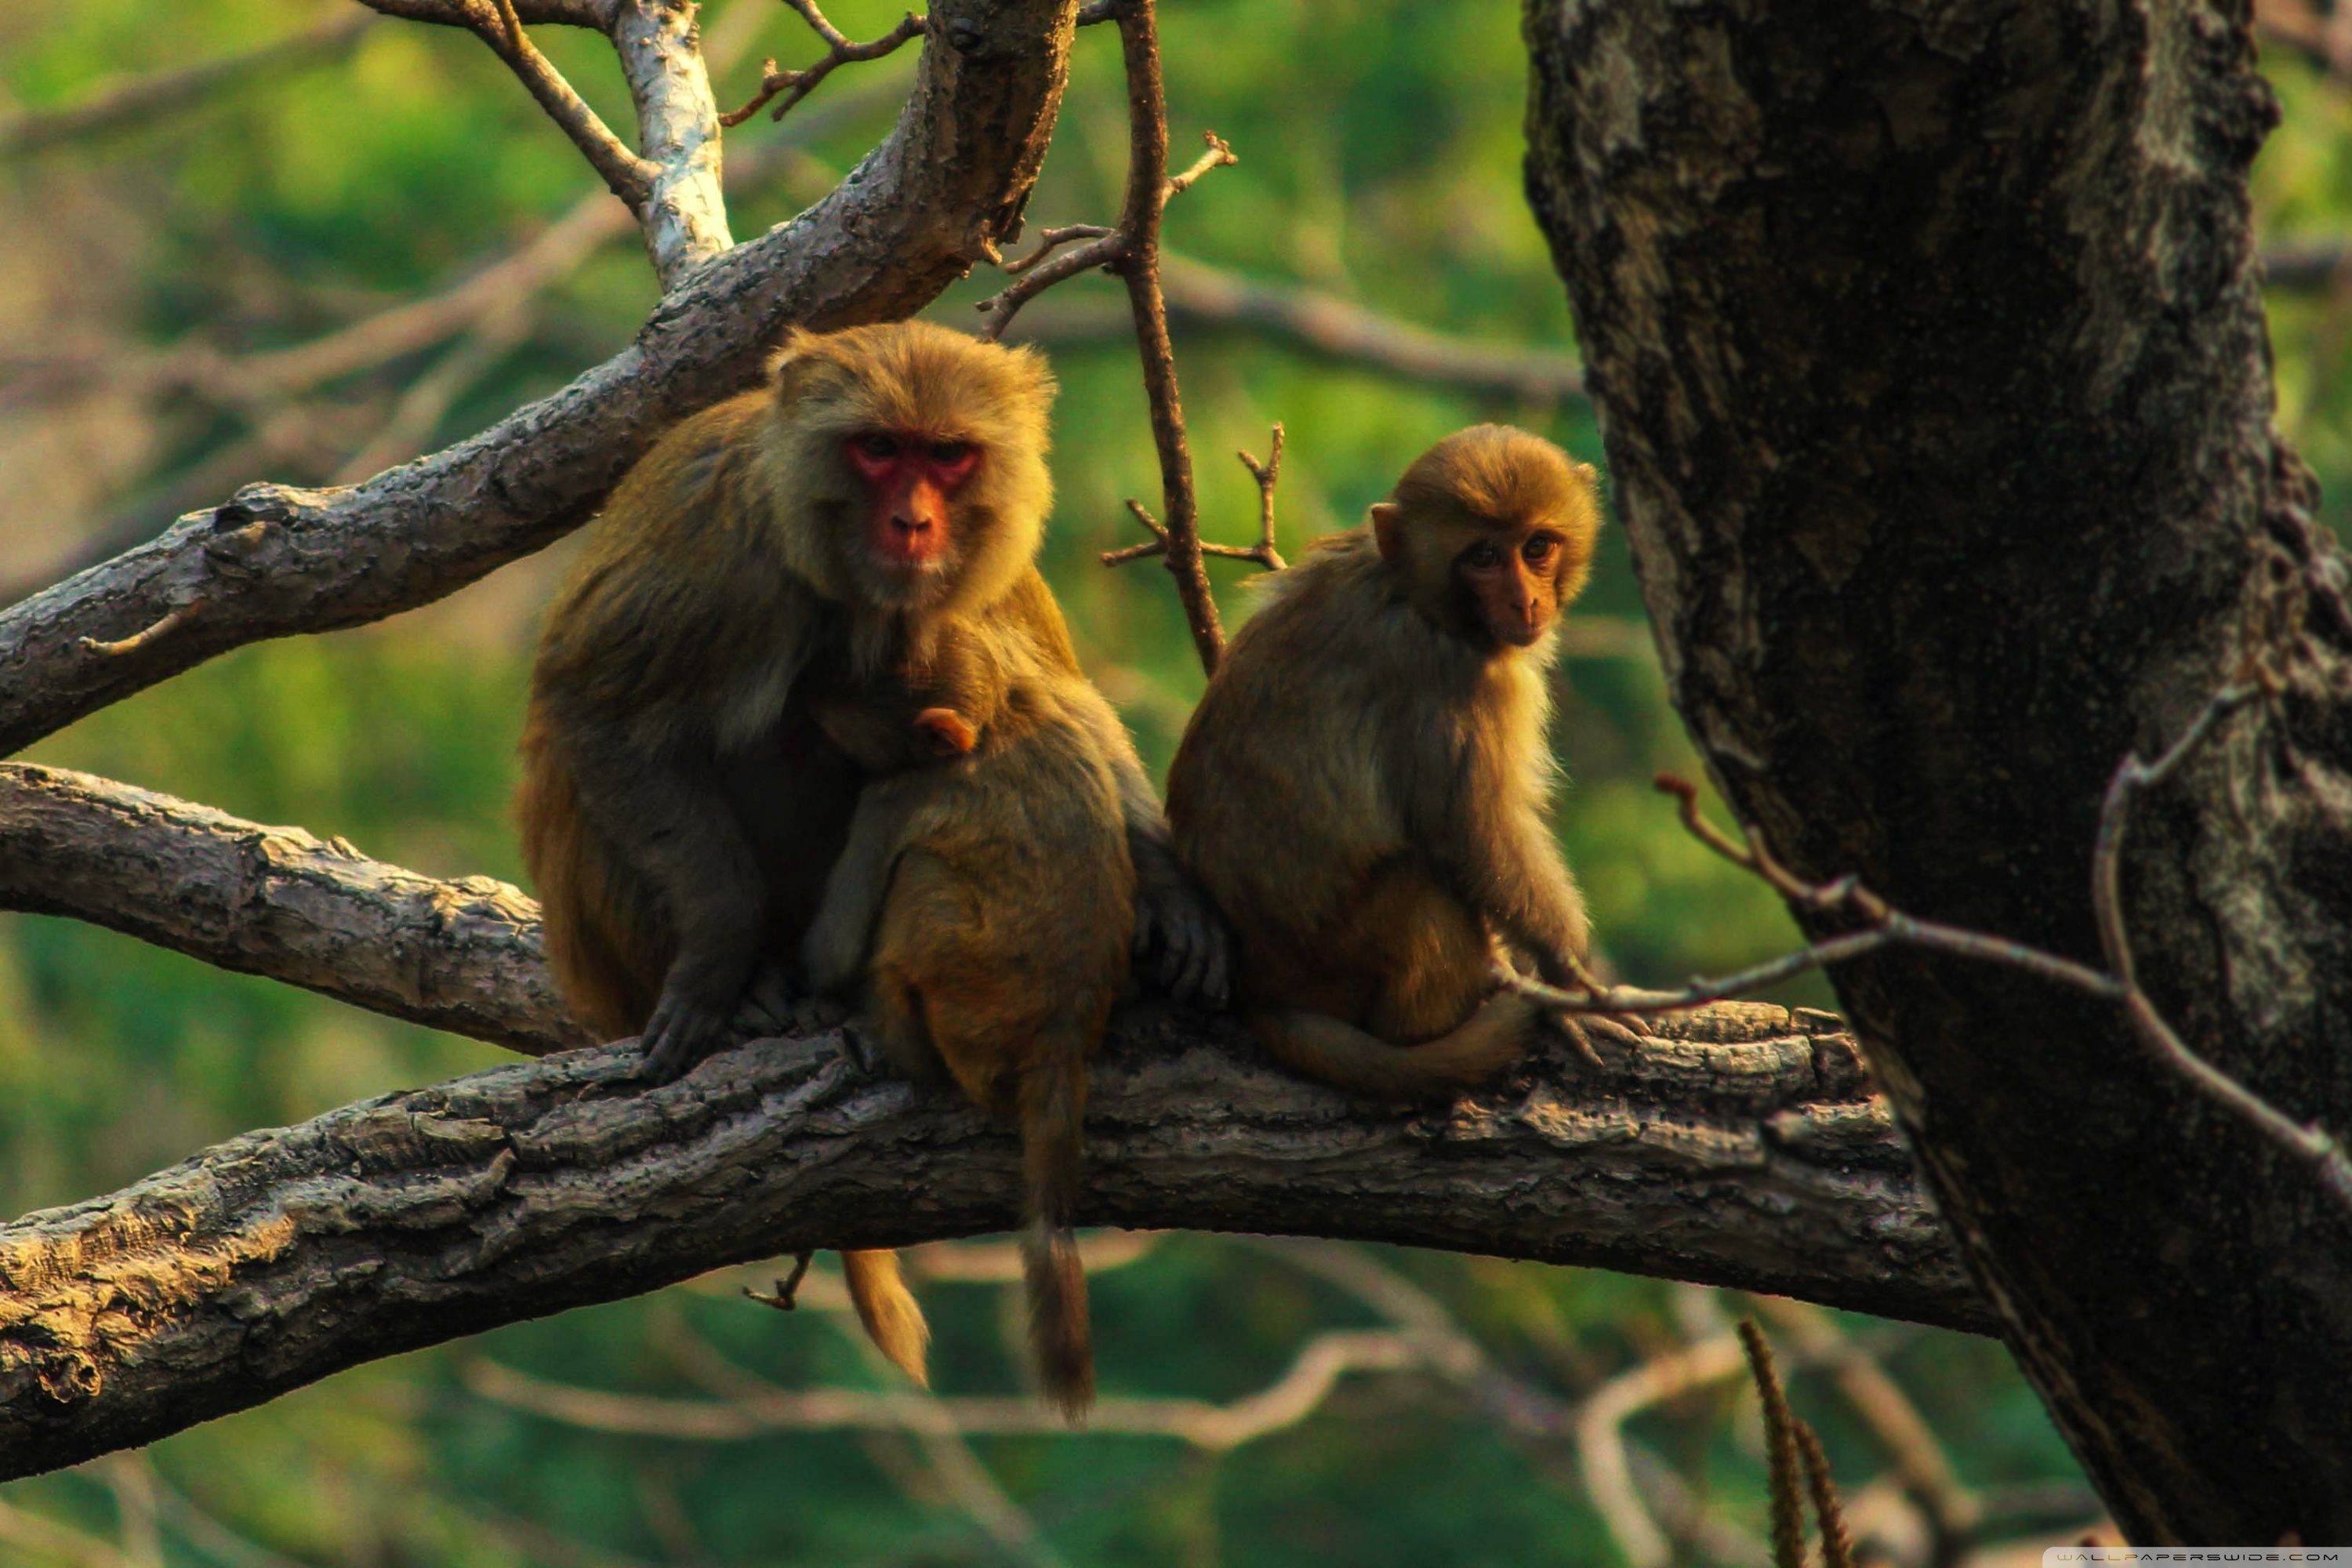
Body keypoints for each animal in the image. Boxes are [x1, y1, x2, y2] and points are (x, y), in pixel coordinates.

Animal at [797, 612, 1135, 1422]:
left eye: (841, 723)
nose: (804, 711)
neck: (1000, 723)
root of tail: (1058, 1044)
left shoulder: (897, 796)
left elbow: (837, 943)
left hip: (964, 998)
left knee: (919, 878)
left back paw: (900, 1046)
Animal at [1165, 424, 1626, 1102]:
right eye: (1484, 557)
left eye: (1537, 546)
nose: (1524, 602)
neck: (1412, 591)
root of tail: (1262, 993)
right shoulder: (1460, 677)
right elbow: (1476, 833)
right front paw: (1571, 988)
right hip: (1342, 956)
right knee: (1425, 883)